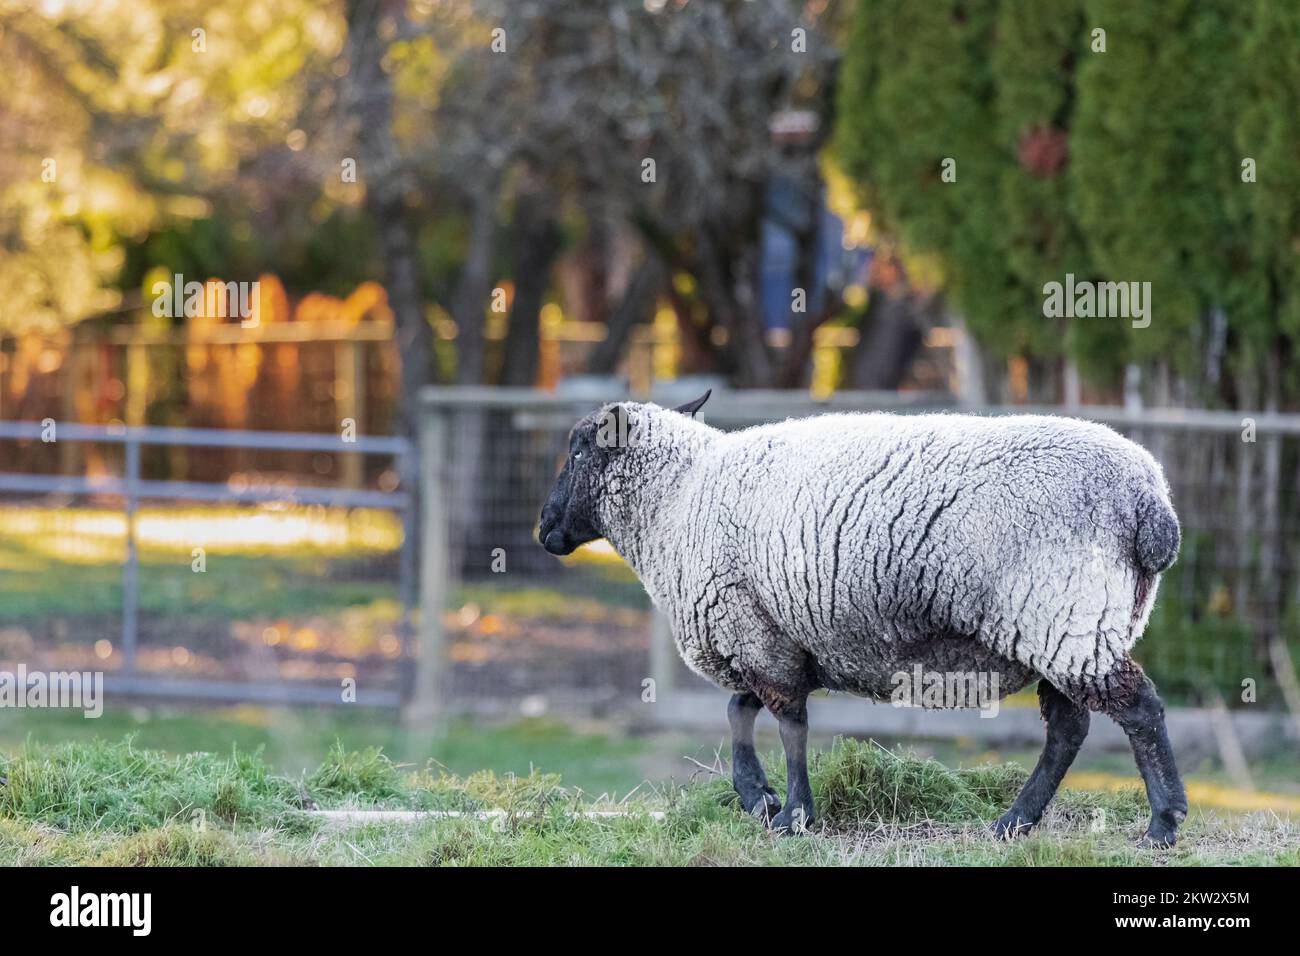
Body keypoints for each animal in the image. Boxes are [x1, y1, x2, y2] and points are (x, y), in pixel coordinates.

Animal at [538, 391, 1188, 845]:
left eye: (578, 450)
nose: (544, 528)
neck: (676, 500)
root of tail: (1152, 503)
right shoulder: (767, 631)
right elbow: (741, 710)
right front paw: (758, 797)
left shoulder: (751, 629)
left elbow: (788, 724)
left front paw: (793, 814)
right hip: (1069, 627)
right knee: (1069, 729)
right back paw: (1015, 823)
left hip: (1064, 616)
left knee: (1137, 709)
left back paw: (1163, 822)